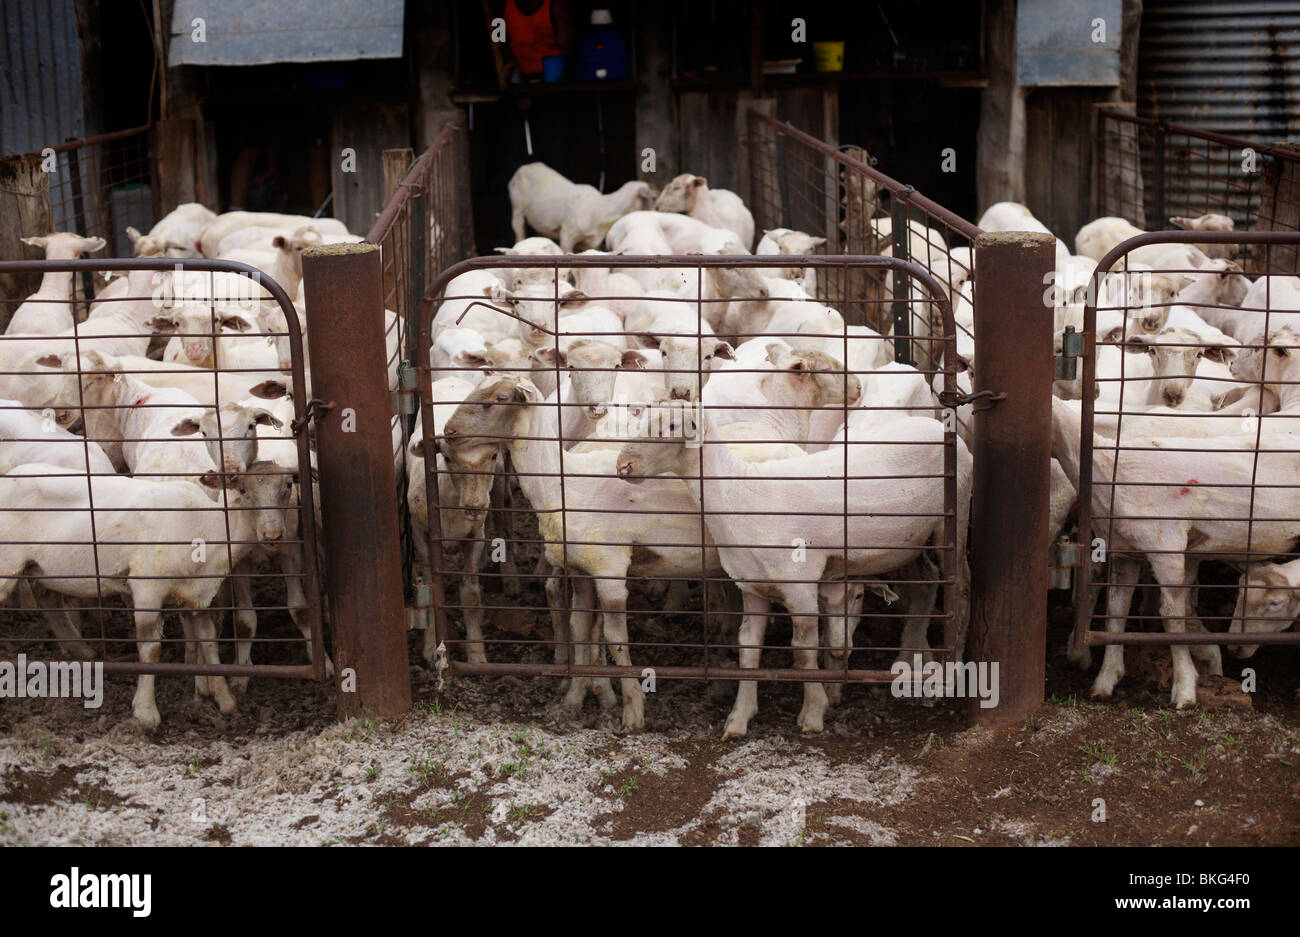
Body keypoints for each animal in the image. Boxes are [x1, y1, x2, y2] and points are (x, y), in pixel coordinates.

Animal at [0, 461, 295, 728]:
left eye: (288, 487)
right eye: (243, 490)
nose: (272, 535)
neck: (207, 528)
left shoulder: (196, 594)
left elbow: (209, 642)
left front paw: (225, 701)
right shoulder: (147, 588)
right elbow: (151, 649)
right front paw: (145, 713)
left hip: (40, 567)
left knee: (48, 598)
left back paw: (82, 649)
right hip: (7, 564)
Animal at [507, 162, 656, 251]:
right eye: (653, 198)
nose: (658, 210)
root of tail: (526, 166)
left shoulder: (591, 243)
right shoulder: (567, 234)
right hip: (517, 209)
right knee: (519, 231)